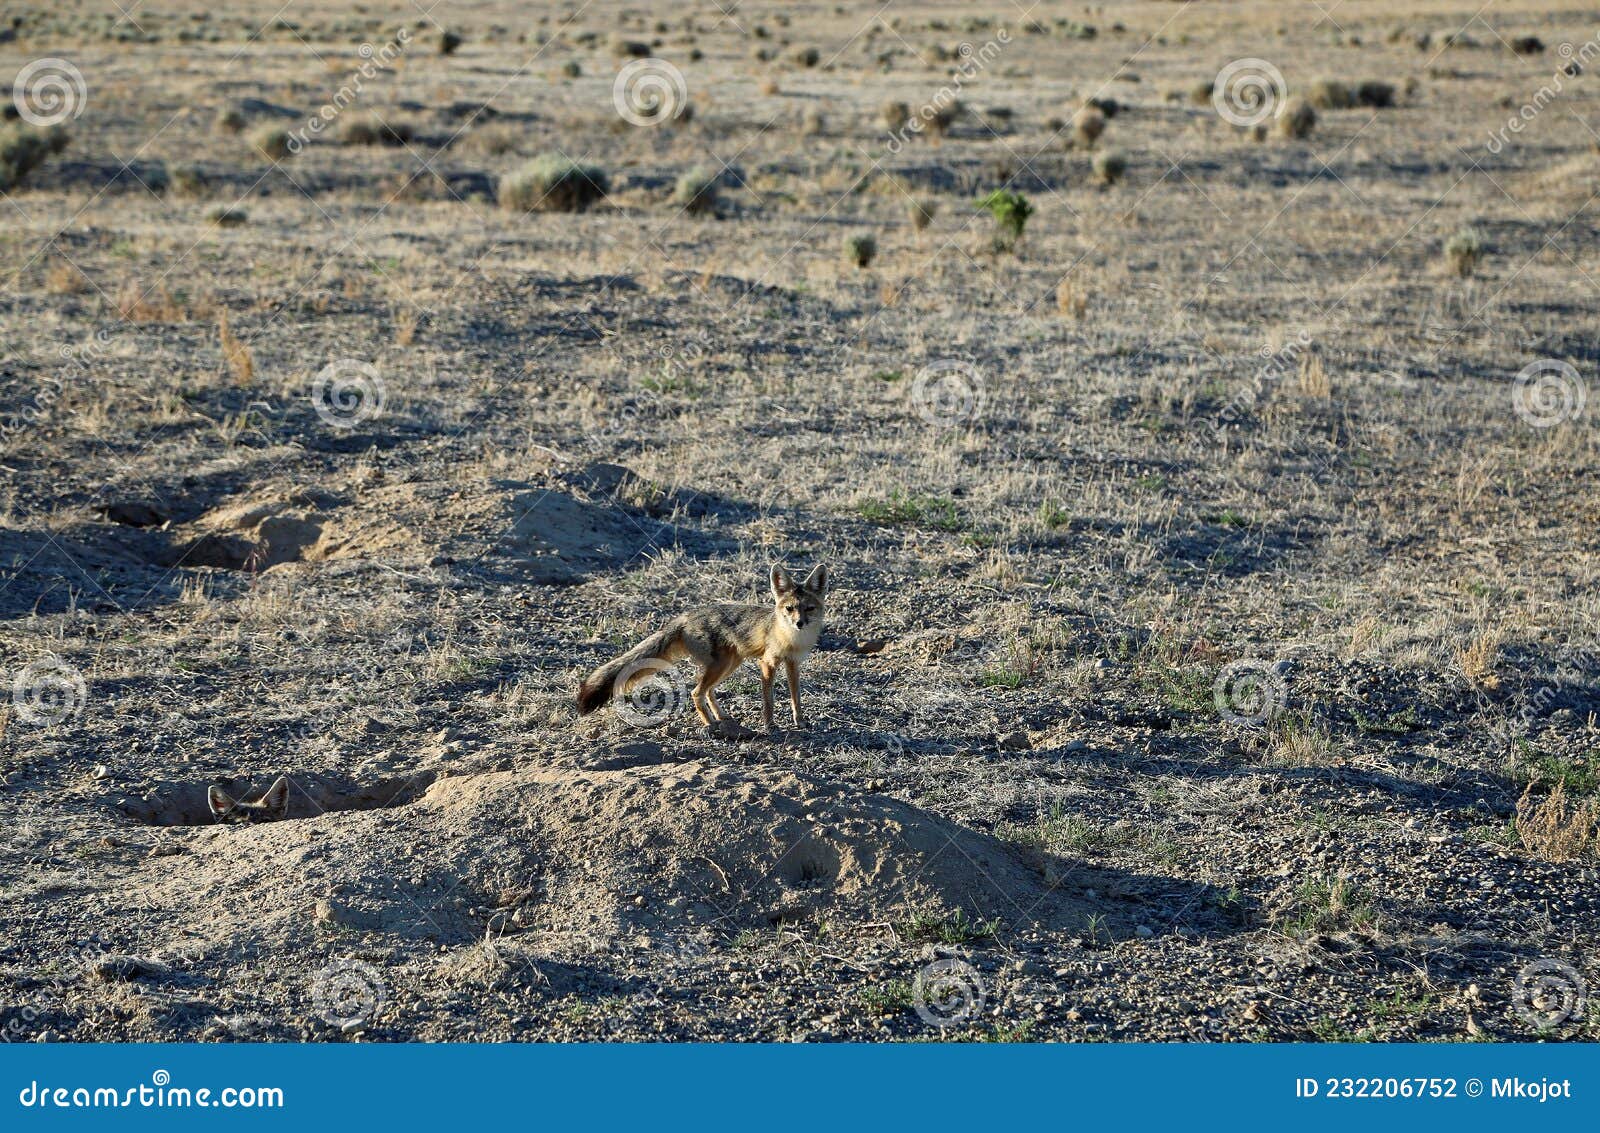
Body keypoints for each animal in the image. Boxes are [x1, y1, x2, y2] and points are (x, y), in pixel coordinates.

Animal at [577, 563, 829, 736]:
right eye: (789, 609)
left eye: (809, 608)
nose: (799, 623)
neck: (792, 639)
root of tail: (686, 616)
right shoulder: (767, 663)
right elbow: (769, 700)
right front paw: (769, 724)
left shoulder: (793, 663)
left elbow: (796, 696)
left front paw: (800, 721)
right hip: (722, 666)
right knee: (696, 692)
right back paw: (709, 725)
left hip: (728, 664)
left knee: (707, 691)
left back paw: (721, 717)